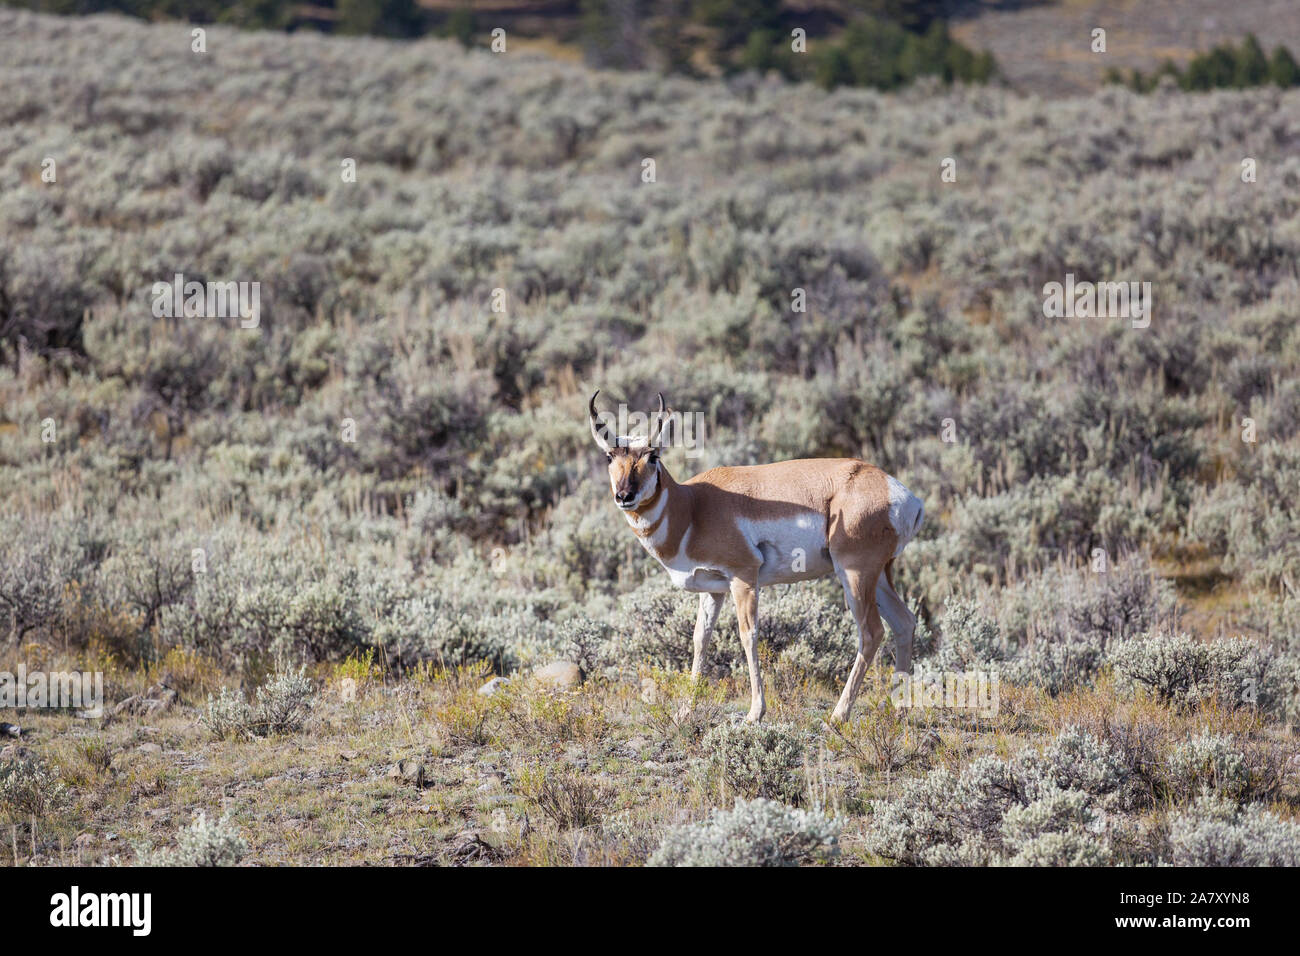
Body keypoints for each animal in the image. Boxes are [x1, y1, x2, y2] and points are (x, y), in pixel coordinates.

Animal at [590, 391, 925, 723]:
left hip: (854, 574)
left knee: (871, 632)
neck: (693, 506)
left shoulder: (744, 579)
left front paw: (755, 713)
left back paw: (838, 715)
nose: (624, 496)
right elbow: (700, 638)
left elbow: (748, 634)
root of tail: (899, 492)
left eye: (653, 456)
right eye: (609, 457)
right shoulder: (713, 589)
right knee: (904, 622)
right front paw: (686, 710)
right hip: (877, 577)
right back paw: (899, 710)